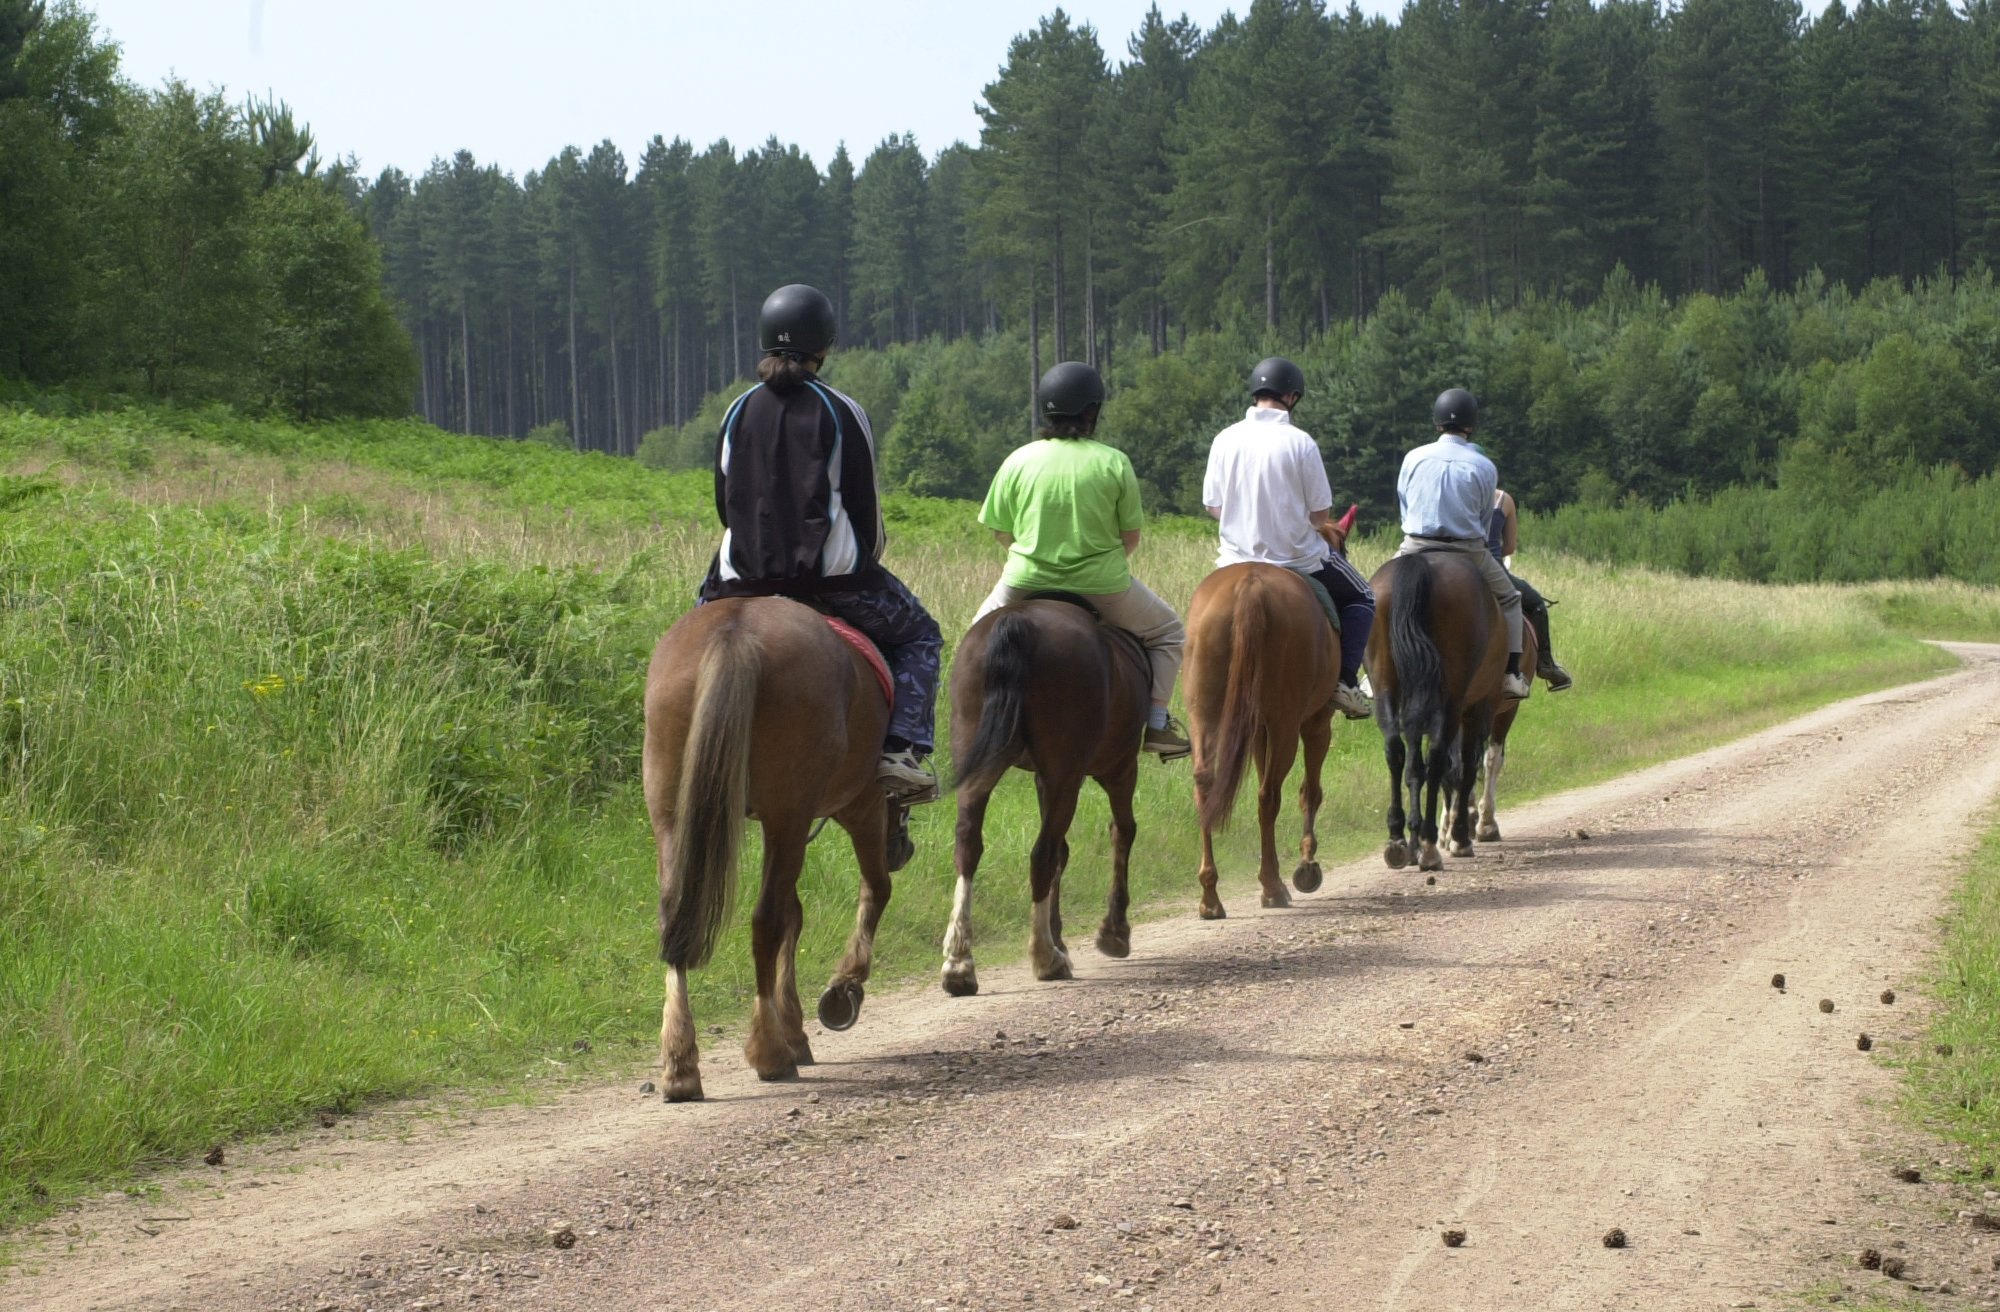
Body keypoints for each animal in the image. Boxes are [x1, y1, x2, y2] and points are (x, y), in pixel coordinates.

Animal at [644, 596, 913, 1102]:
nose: (902, 849)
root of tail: (736, 629)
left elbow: (796, 913)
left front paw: (797, 1028)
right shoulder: (862, 805)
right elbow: (874, 889)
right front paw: (842, 991)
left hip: (671, 812)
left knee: (677, 920)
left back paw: (680, 1064)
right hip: (792, 811)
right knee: (765, 919)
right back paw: (769, 1052)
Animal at [940, 598, 1149, 992]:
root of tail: (1019, 621)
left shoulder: (1043, 778)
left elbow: (1066, 852)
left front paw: (1061, 936)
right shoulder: (1119, 766)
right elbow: (1122, 832)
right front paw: (1113, 932)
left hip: (979, 763)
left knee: (968, 846)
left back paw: (959, 965)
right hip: (1068, 773)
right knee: (1042, 854)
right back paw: (1045, 958)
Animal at [1183, 564, 1340, 919]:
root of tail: (1249, 586)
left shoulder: (1257, 730)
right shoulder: (1316, 723)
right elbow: (1311, 792)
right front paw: (1307, 866)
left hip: (1204, 712)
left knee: (1205, 785)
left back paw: (1210, 897)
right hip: (1285, 723)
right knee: (1269, 796)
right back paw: (1272, 887)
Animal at [1365, 551, 1506, 872]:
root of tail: (1419, 564)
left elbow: (1415, 767)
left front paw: (1414, 840)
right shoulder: (1478, 707)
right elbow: (1466, 767)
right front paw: (1459, 836)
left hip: (1385, 684)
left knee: (1396, 750)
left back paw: (1398, 839)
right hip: (1454, 698)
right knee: (1439, 759)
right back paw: (1431, 845)